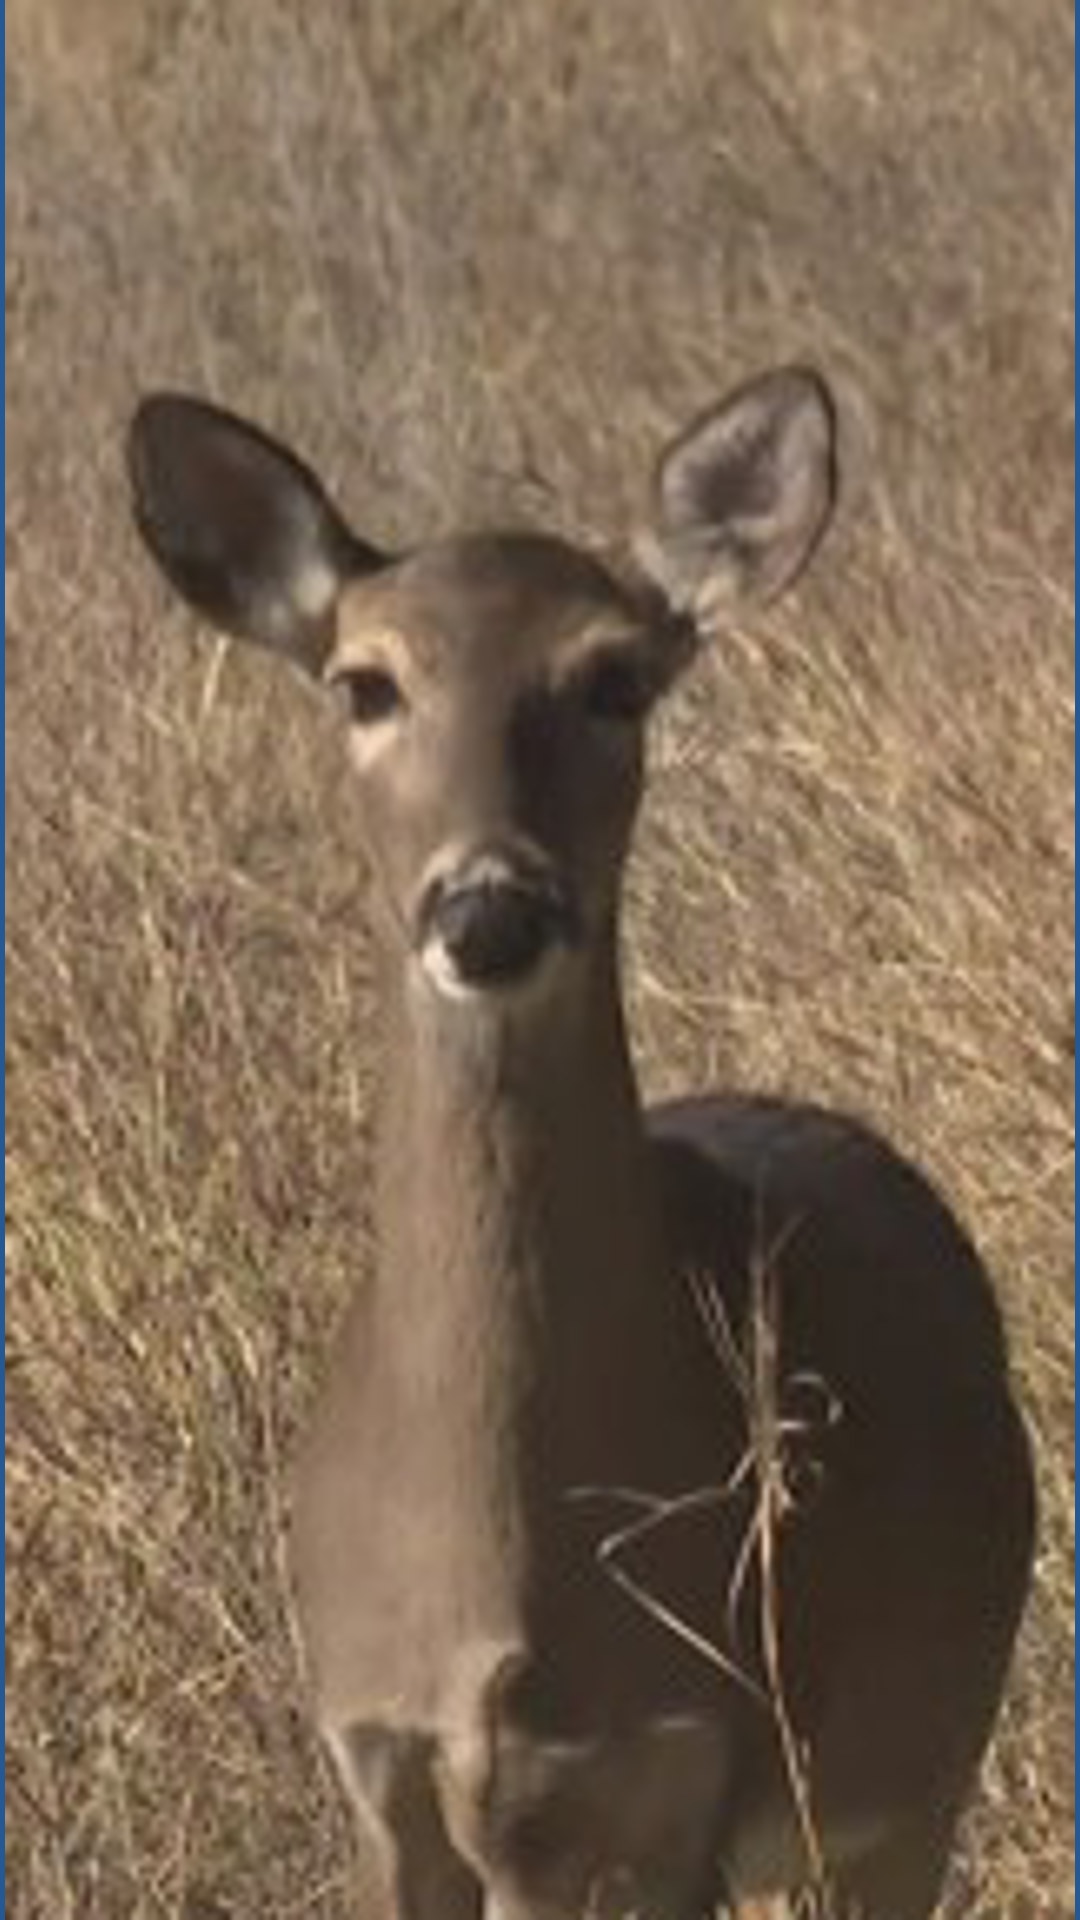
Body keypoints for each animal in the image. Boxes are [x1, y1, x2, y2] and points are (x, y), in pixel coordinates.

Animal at [127, 367, 1035, 1919]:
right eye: (364, 682)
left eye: (615, 678)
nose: (489, 910)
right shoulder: (383, 1772)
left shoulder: (678, 1775)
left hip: (911, 1773)